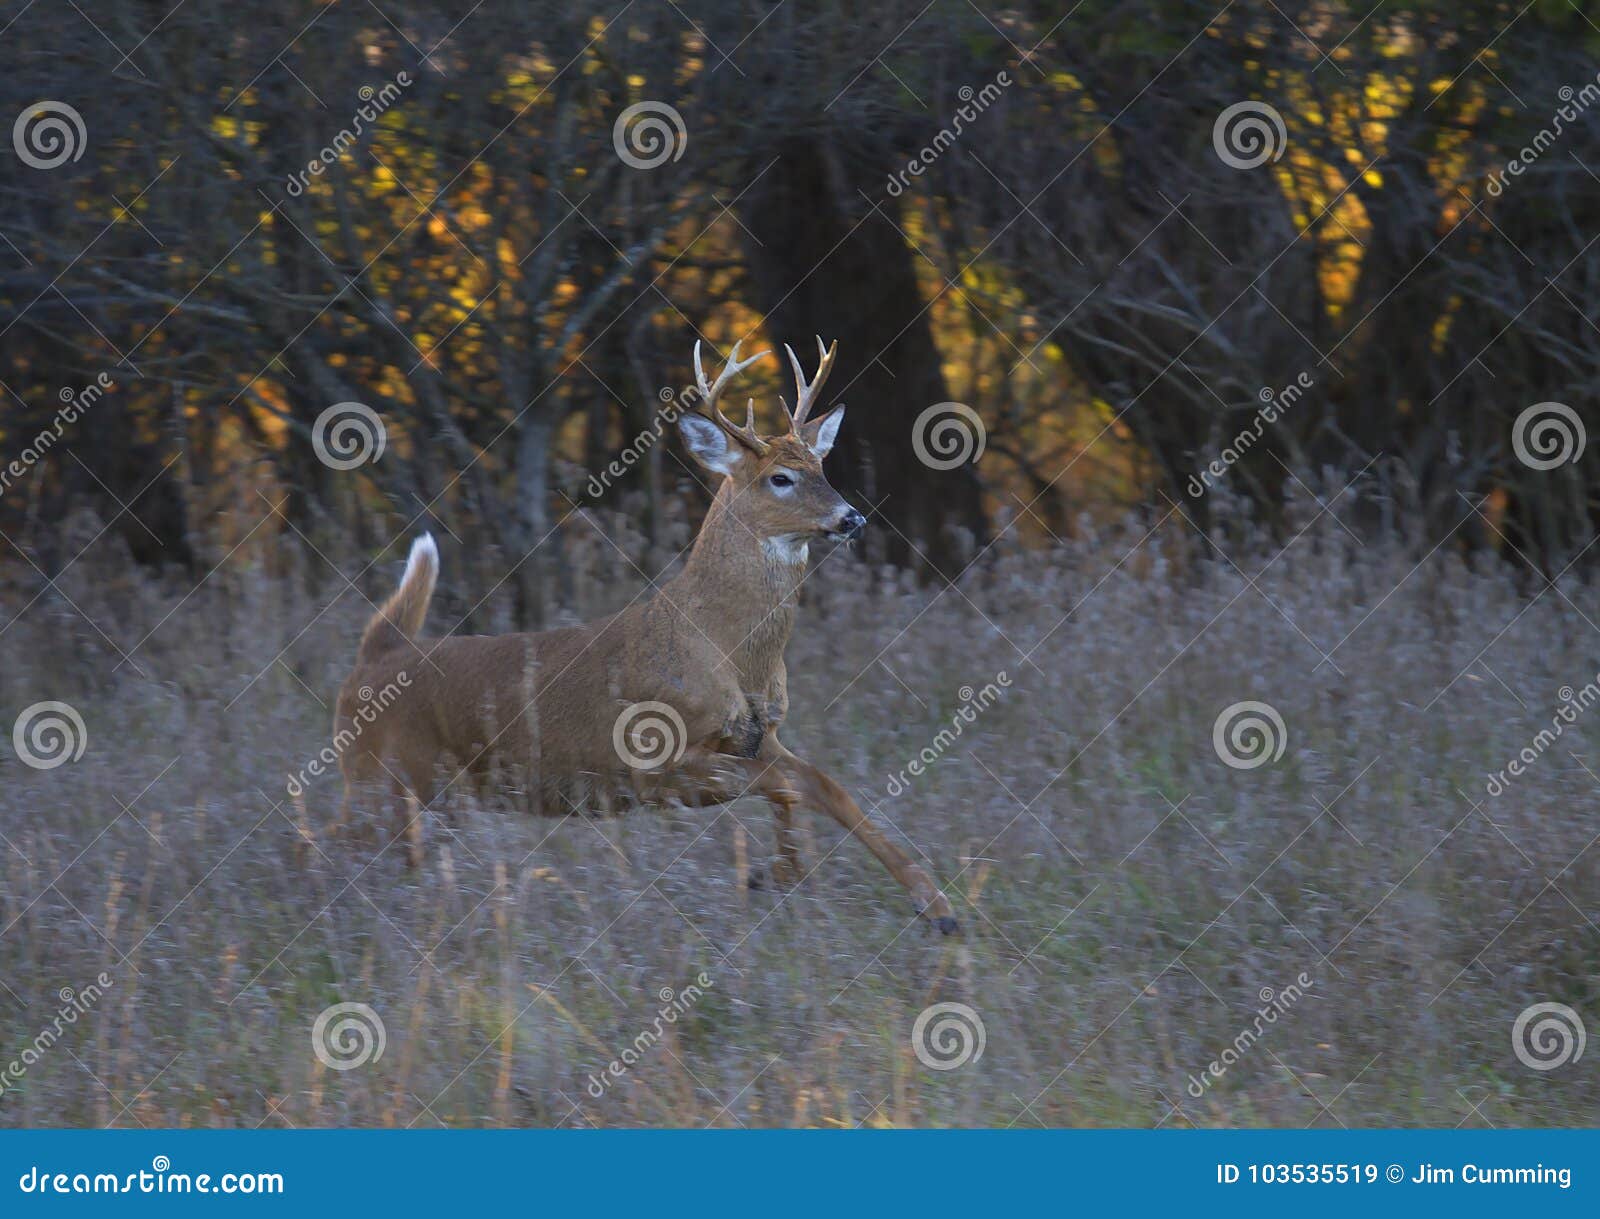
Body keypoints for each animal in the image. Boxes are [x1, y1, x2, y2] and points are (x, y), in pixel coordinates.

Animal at [334, 337, 960, 934]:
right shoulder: (652, 758)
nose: (851, 517)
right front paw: (779, 874)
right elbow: (785, 783)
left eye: (822, 469)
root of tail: (374, 657)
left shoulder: (759, 736)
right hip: (381, 781)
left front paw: (934, 906)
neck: (727, 650)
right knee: (334, 852)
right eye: (779, 479)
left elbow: (821, 784)